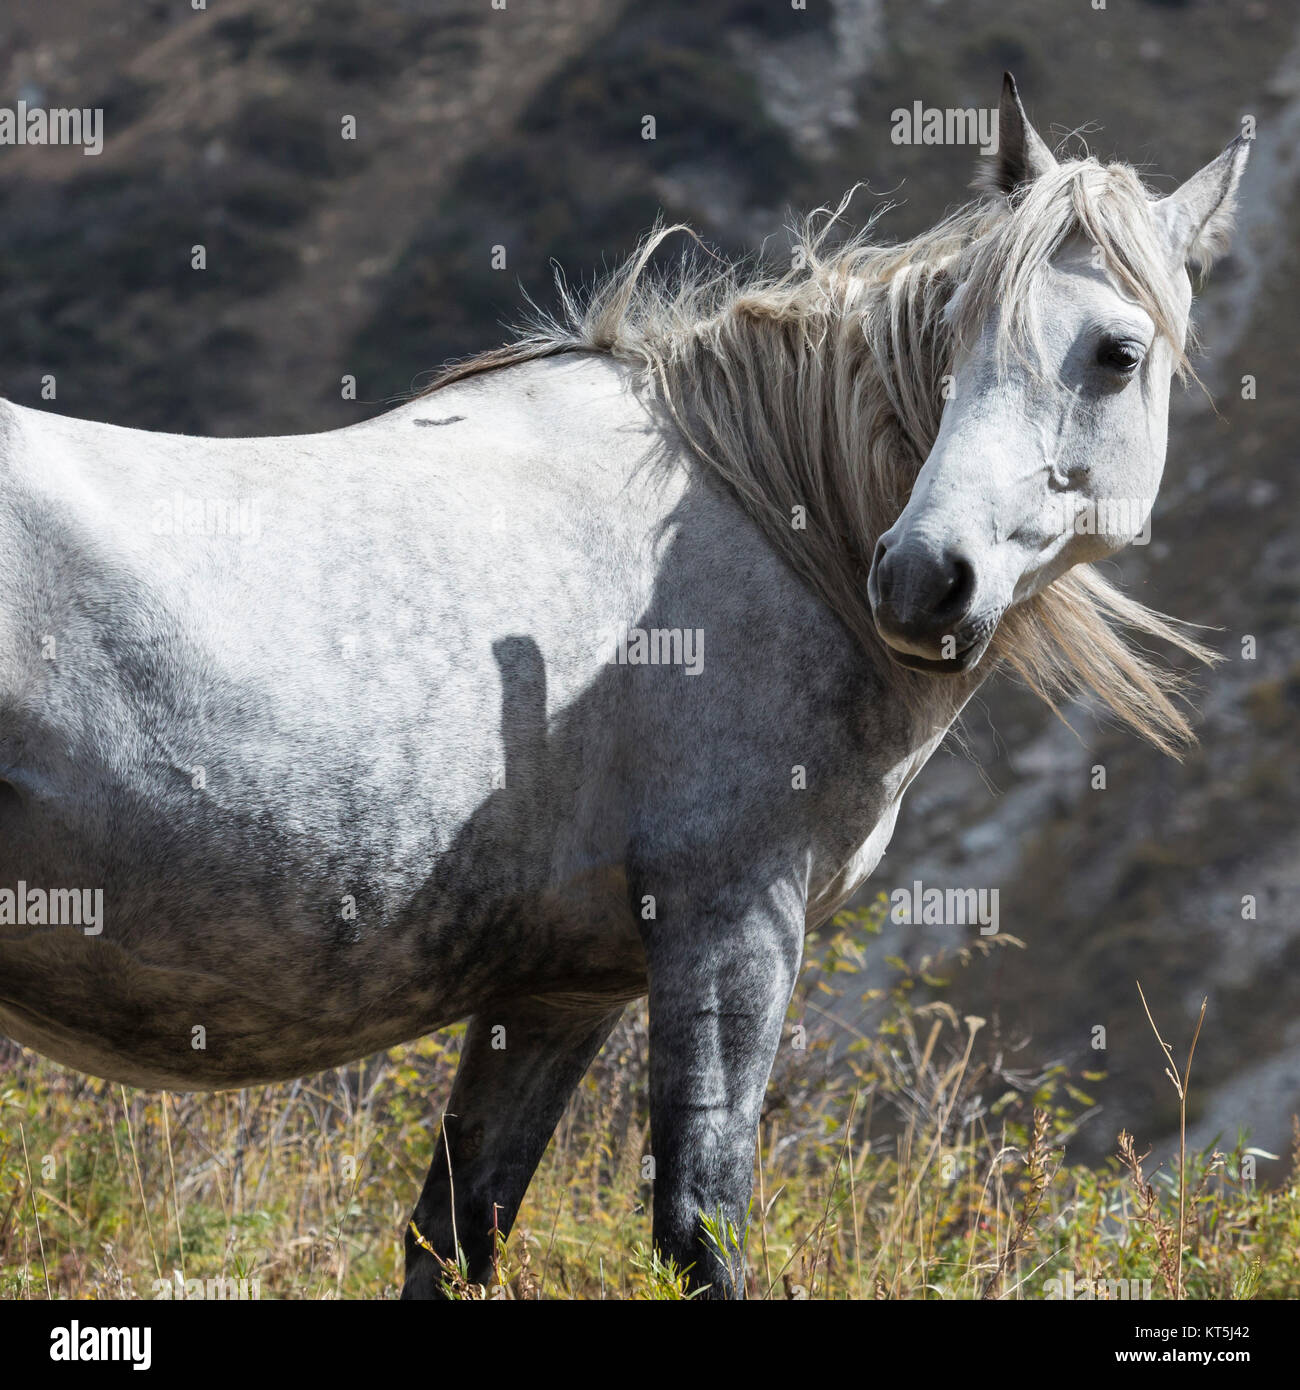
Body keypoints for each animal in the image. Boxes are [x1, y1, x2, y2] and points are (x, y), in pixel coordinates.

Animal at [0, 75, 1247, 1297]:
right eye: (951, 336)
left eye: (1115, 354)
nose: (922, 577)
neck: (761, 522)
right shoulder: (731, 928)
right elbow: (701, 1234)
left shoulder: (557, 995)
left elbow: (454, 1238)